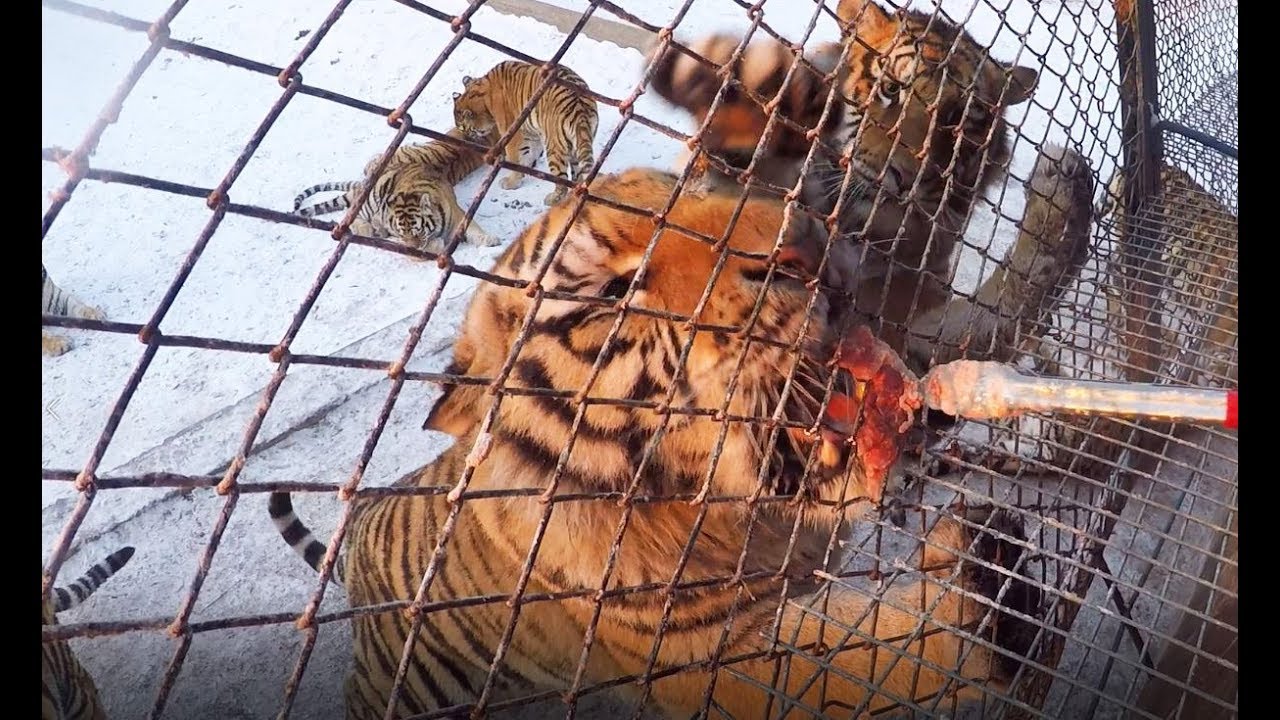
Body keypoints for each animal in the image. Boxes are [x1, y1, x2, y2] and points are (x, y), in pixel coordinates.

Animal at [269, 168, 1042, 719]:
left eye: (697, 189)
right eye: (614, 291)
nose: (800, 246)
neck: (752, 522)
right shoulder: (707, 659)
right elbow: (851, 657)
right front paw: (991, 601)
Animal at [294, 126, 501, 253]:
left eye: (418, 231)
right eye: (403, 233)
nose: (411, 248)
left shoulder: (457, 215)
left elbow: (473, 228)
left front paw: (490, 239)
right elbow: (434, 246)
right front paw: (436, 244)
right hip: (371, 200)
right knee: (353, 215)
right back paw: (368, 229)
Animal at [452, 60, 599, 206]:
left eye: (463, 129)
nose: (468, 138)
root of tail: (579, 107)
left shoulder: (512, 134)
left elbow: (515, 157)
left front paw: (511, 182)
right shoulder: (531, 133)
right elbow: (528, 154)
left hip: (554, 146)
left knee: (561, 180)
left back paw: (552, 199)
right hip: (578, 144)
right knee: (578, 175)